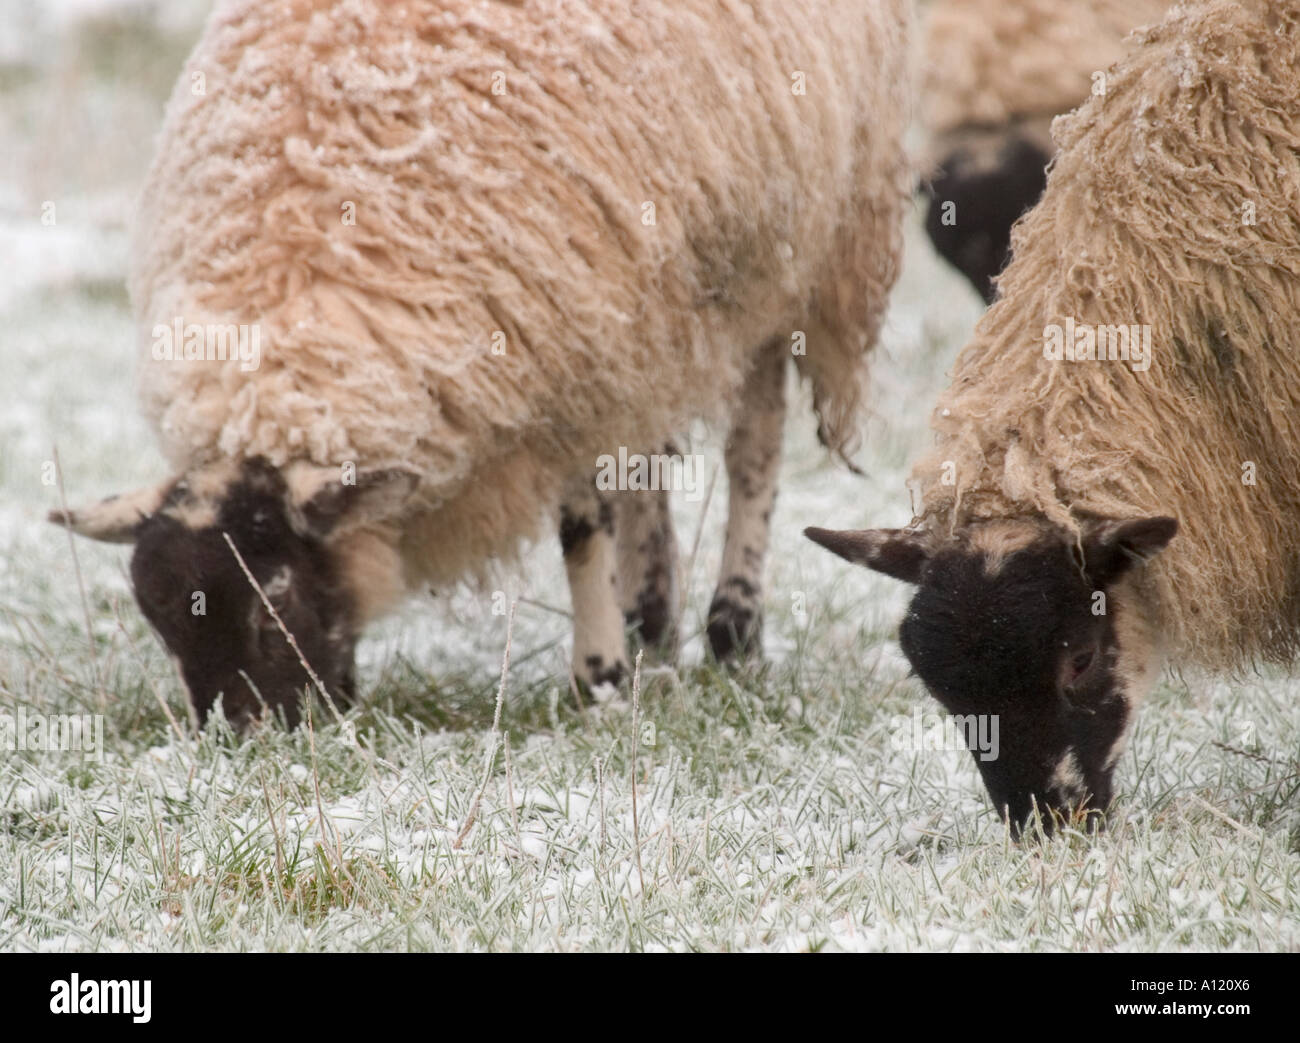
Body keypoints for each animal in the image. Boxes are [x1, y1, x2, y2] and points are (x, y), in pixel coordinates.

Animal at [50, 0, 911, 729]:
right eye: (160, 621)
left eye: (276, 602)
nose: (247, 737)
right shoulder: (603, 349)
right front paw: (623, 649)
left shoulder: (575, 366)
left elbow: (583, 525)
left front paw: (599, 680)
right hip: (666, 312)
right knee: (653, 458)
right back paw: (655, 622)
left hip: (797, 251)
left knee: (753, 448)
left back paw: (733, 632)